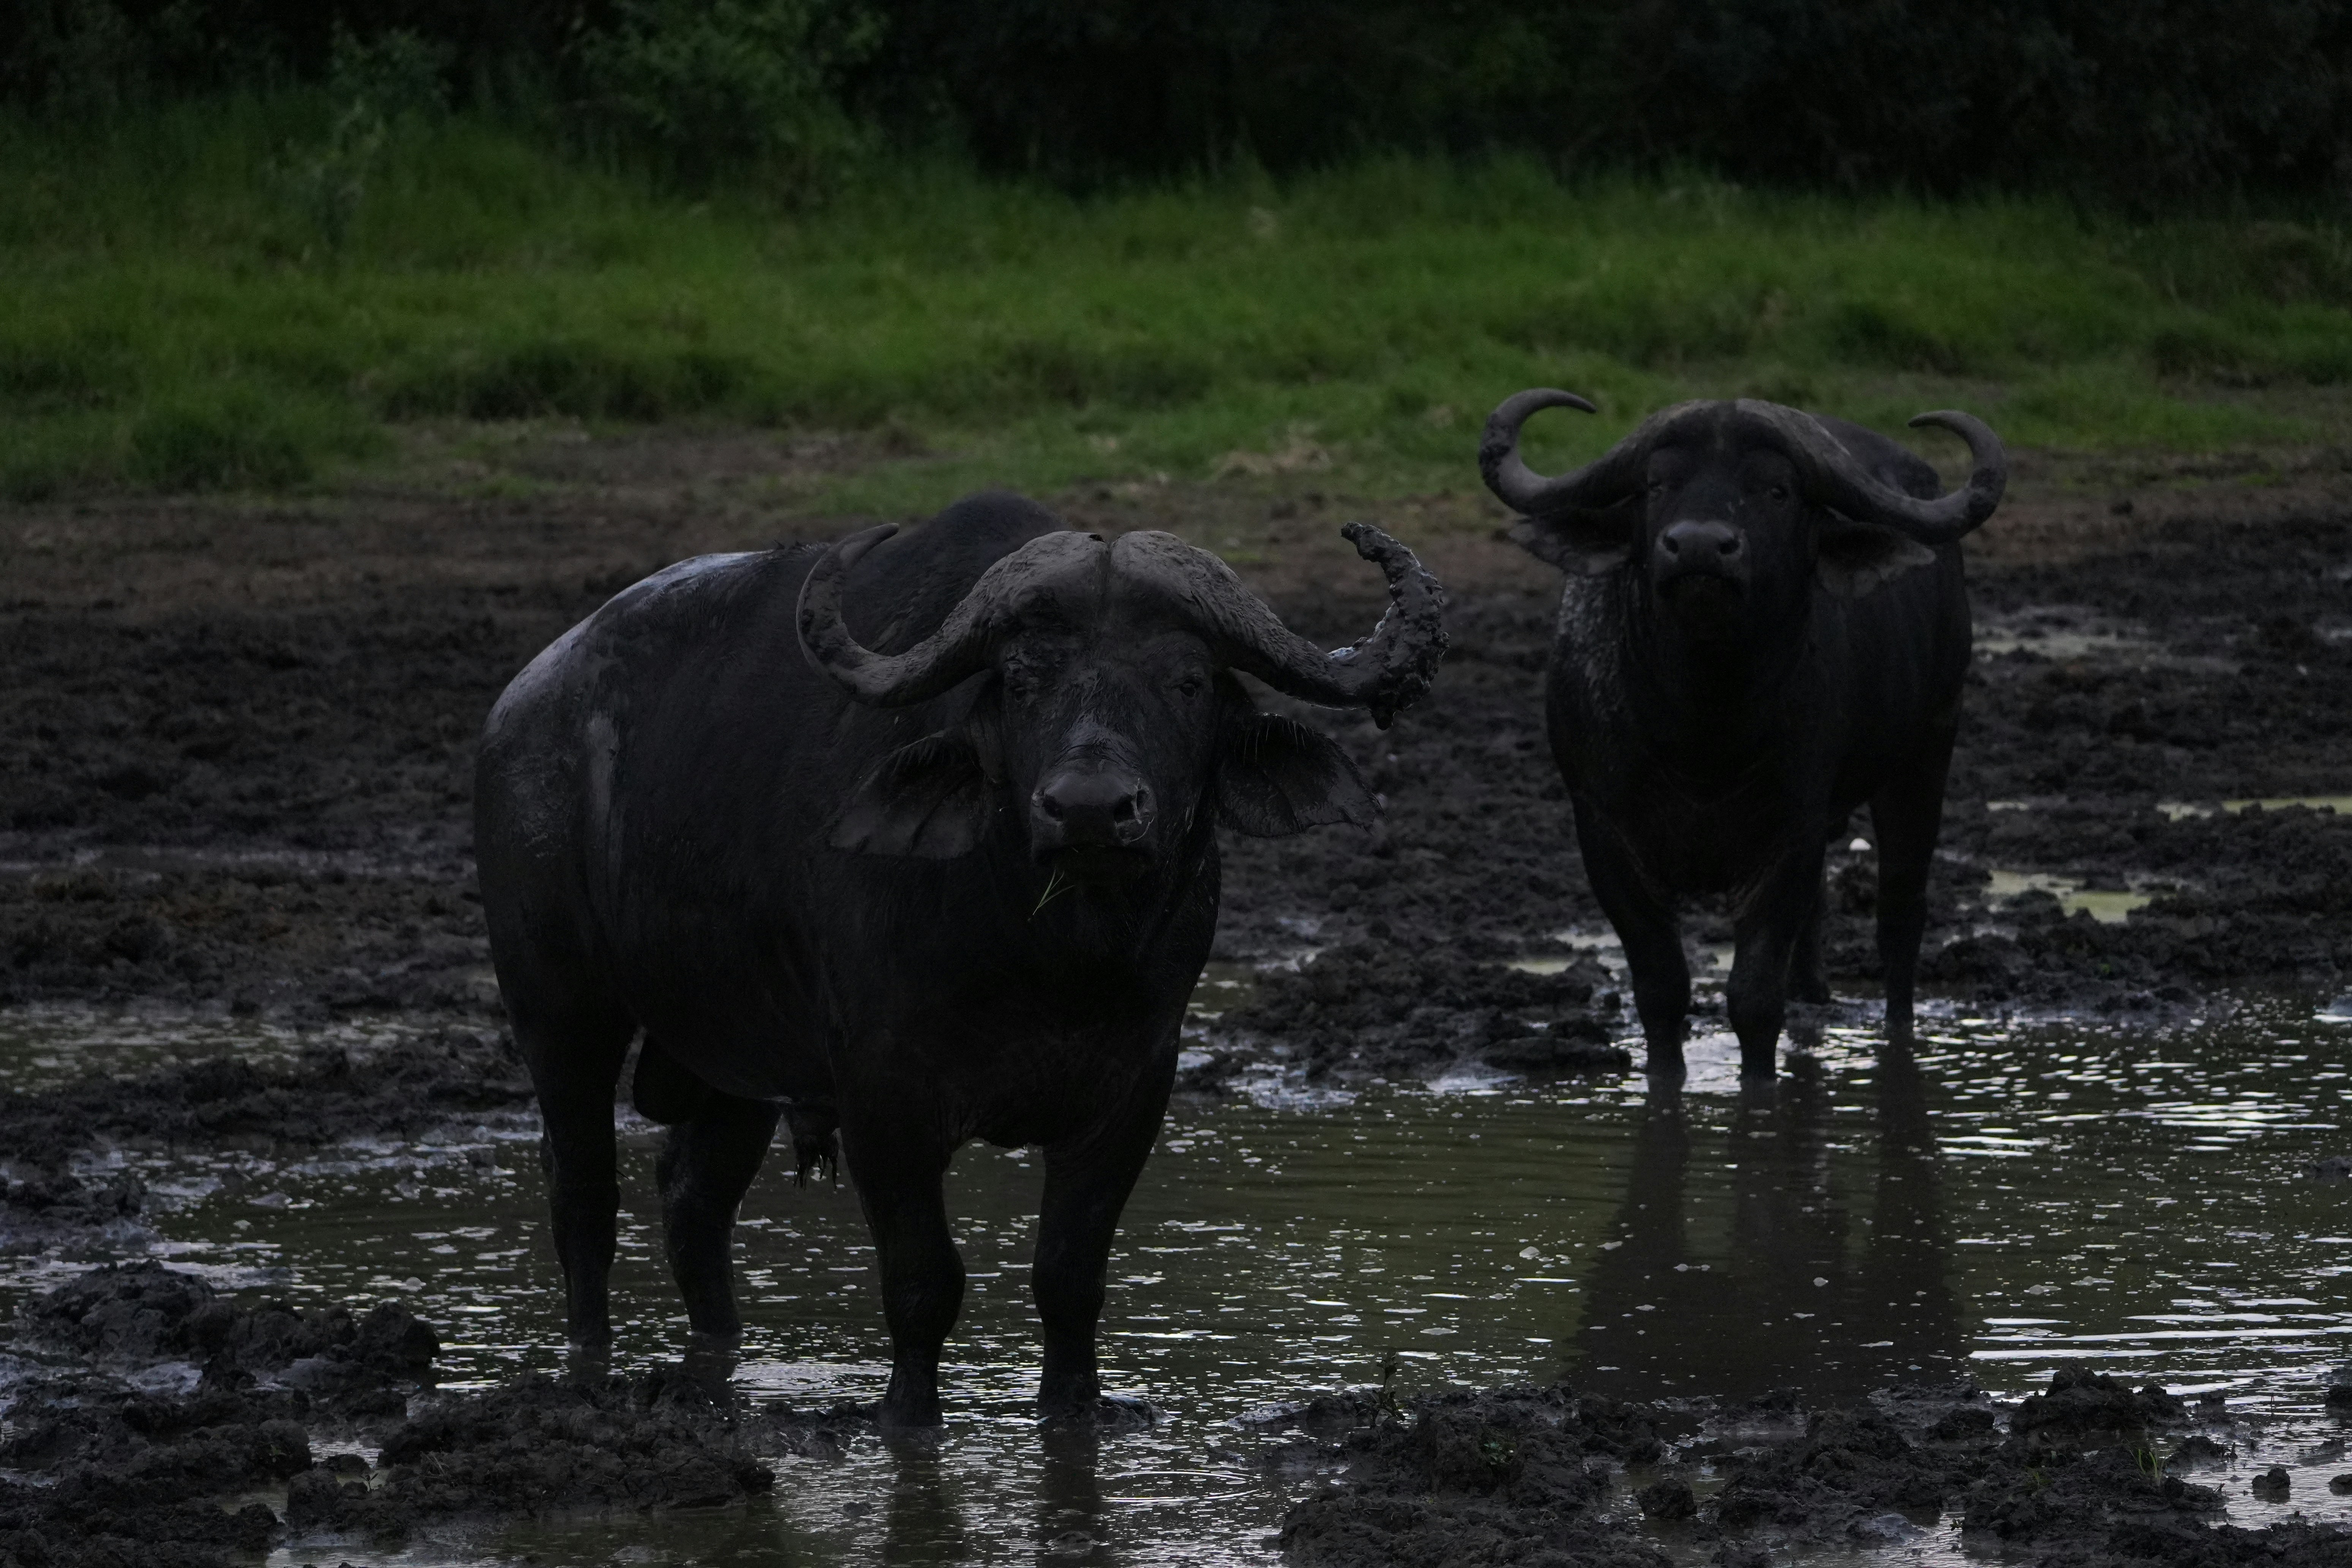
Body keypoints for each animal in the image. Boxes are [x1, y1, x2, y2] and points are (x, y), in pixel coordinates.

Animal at [474, 492, 1445, 1425]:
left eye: (1189, 680)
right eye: (1020, 680)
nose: (1089, 810)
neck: (1048, 958)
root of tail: (525, 701)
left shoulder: (1133, 1092)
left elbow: (1069, 1275)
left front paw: (1075, 1408)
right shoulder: (882, 1100)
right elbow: (923, 1278)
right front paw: (908, 1415)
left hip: (732, 1057)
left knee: (692, 1197)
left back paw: (717, 1357)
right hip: (557, 1003)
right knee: (584, 1191)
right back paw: (590, 1366)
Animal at [1480, 392, 2005, 1079]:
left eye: (1776, 490)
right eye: (1657, 483)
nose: (1699, 548)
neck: (1704, 730)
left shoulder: (1788, 836)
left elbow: (1753, 997)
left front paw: (1758, 1083)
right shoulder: (1604, 833)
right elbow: (1661, 988)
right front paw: (1666, 1075)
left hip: (1927, 746)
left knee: (1900, 914)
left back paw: (1897, 1035)